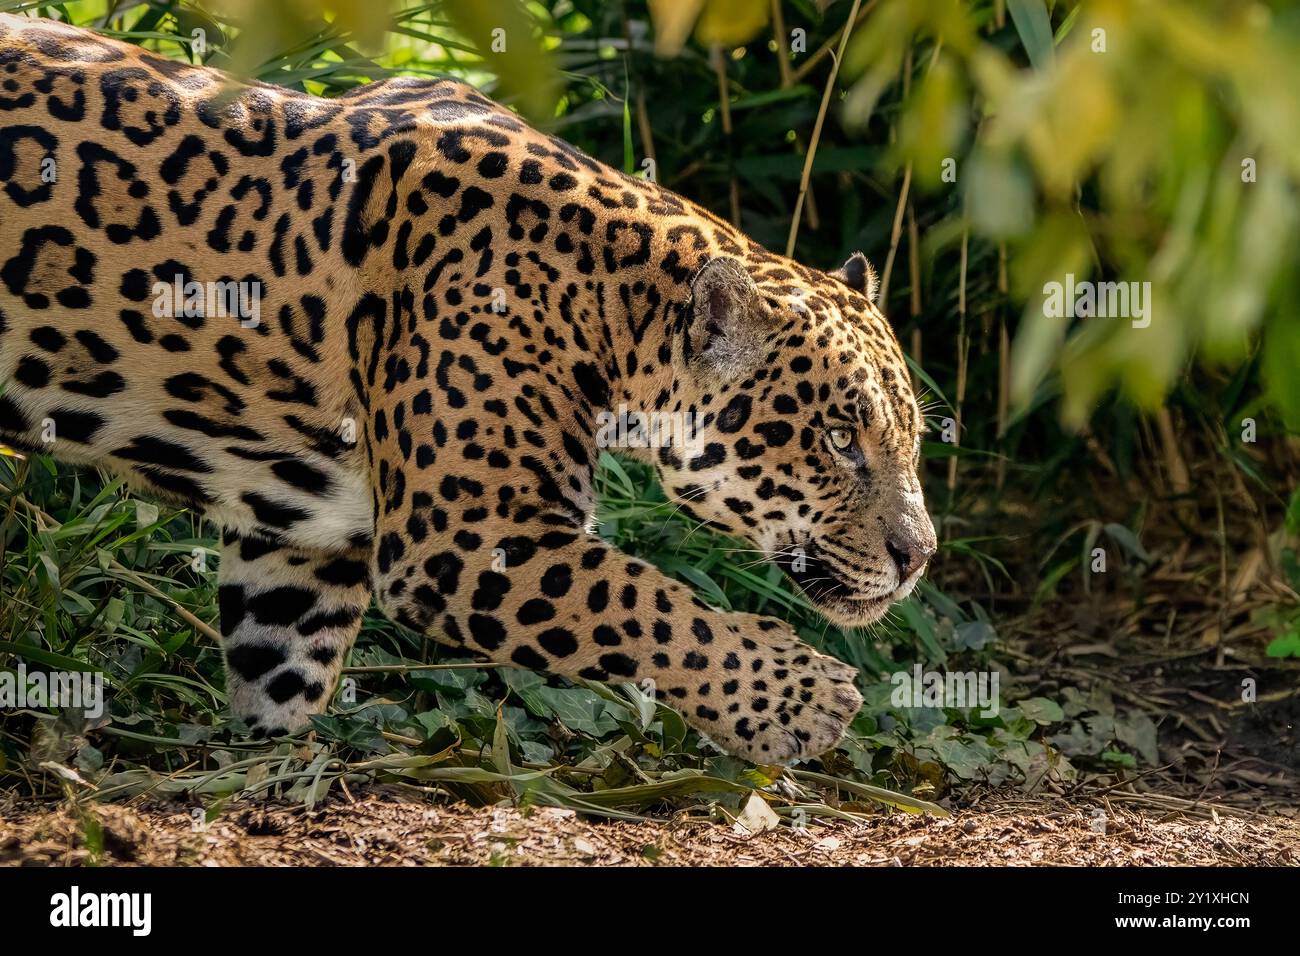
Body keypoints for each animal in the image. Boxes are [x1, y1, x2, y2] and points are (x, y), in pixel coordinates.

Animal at [0, 13, 936, 764]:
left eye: (911, 440)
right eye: (838, 440)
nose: (919, 556)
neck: (608, 301)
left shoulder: (303, 541)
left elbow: (282, 669)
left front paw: (274, 775)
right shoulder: (468, 538)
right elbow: (649, 606)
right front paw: (802, 699)